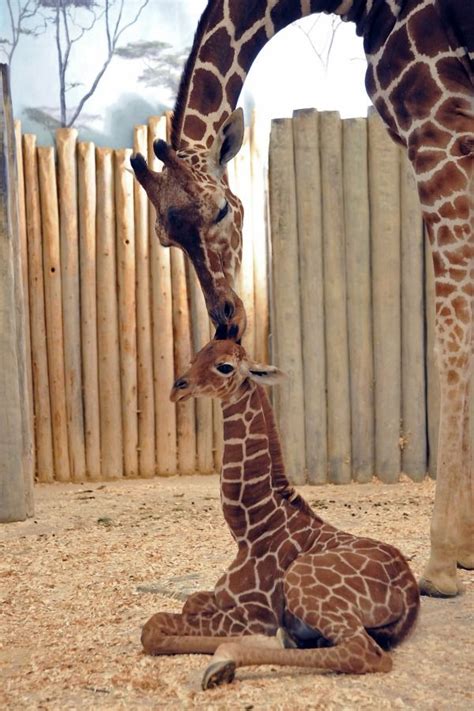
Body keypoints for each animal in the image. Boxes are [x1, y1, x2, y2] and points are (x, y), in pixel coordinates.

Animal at [131, 1, 473, 598]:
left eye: (223, 209)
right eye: (164, 238)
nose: (227, 316)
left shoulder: (441, 126)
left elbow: (455, 330)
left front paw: (442, 563)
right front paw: (467, 549)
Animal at [141, 335, 420, 689]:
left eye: (224, 366)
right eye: (196, 356)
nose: (178, 388)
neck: (251, 528)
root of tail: (410, 598)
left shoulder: (254, 613)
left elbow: (153, 626)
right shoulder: (222, 598)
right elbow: (185, 604)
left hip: (303, 582)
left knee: (363, 652)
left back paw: (227, 661)